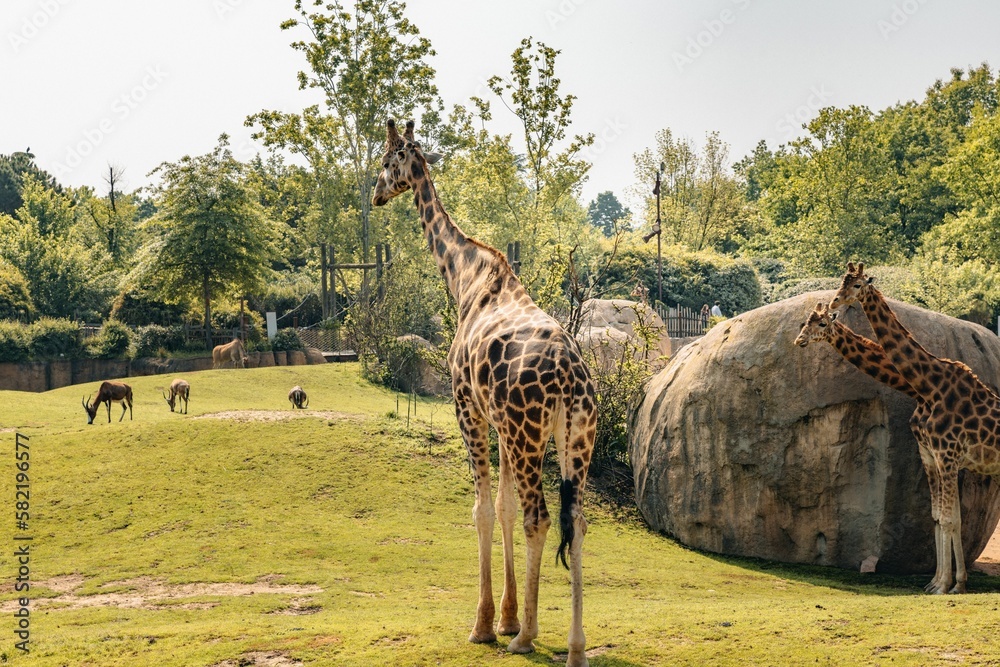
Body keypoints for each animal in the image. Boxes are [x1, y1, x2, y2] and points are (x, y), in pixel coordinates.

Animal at [372, 119, 597, 666]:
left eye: (386, 161)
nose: (375, 194)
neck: (463, 276)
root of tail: (570, 377)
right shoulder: (498, 426)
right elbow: (504, 507)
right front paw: (508, 616)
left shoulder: (468, 410)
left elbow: (481, 510)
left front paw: (485, 625)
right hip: (573, 439)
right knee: (575, 521)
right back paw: (576, 647)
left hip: (528, 434)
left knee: (541, 517)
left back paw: (528, 639)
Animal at [828, 262, 1000, 594]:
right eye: (841, 282)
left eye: (857, 285)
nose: (834, 303)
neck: (928, 386)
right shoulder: (933, 456)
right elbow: (943, 517)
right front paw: (942, 582)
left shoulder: (947, 456)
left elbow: (948, 519)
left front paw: (947, 585)